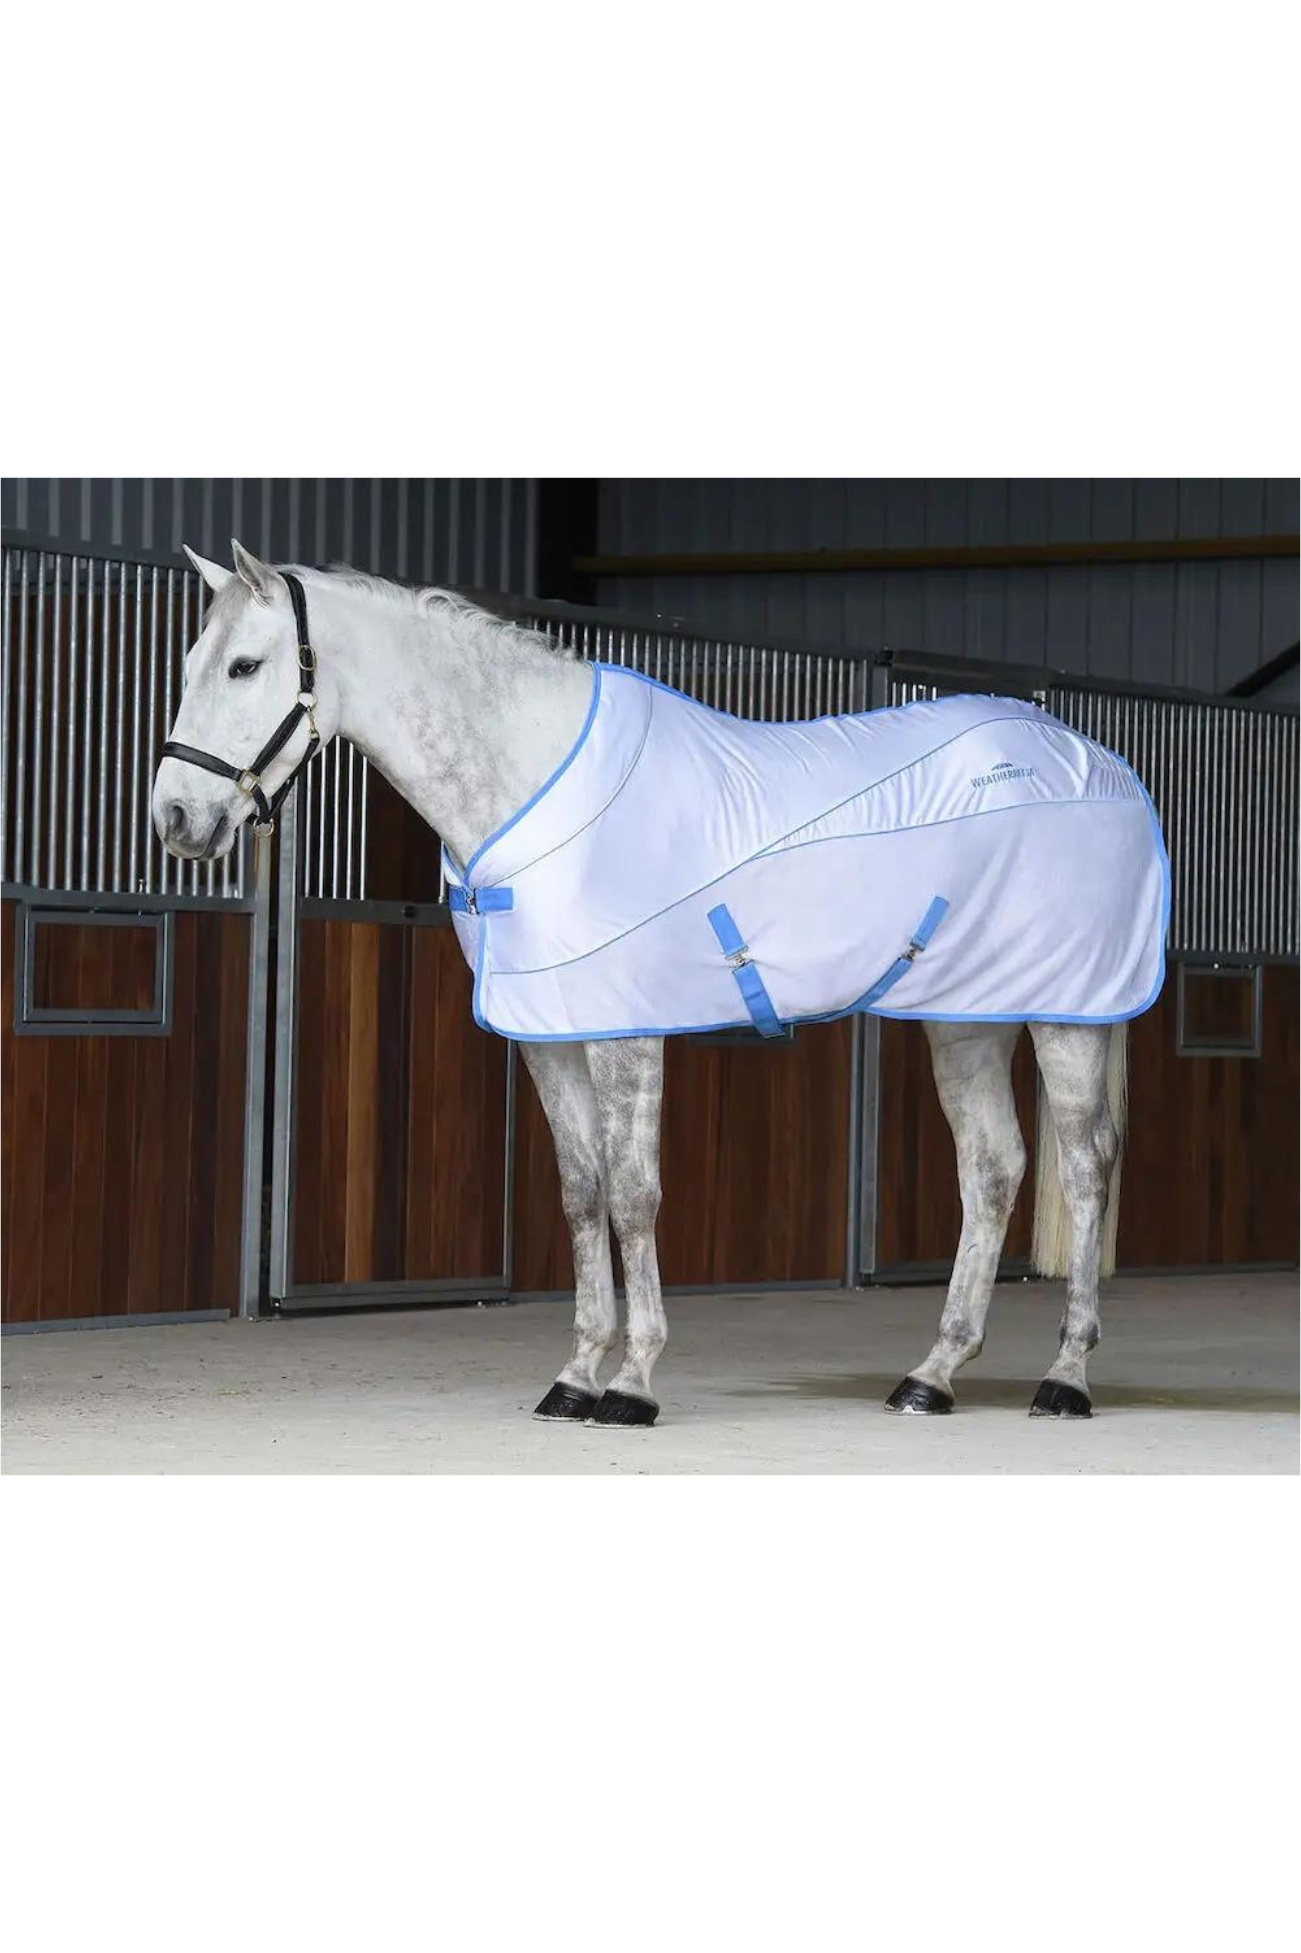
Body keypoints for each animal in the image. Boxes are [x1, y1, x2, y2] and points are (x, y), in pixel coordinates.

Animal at [154, 540, 1147, 1428]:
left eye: (245, 665)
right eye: (195, 661)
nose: (174, 818)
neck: (537, 782)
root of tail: (1089, 756)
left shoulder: (625, 1034)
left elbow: (634, 1196)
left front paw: (632, 1384)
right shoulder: (551, 1038)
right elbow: (581, 1193)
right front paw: (574, 1377)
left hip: (1067, 1014)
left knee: (1086, 1164)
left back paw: (1064, 1377)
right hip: (967, 1016)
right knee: (993, 1165)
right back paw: (931, 1375)